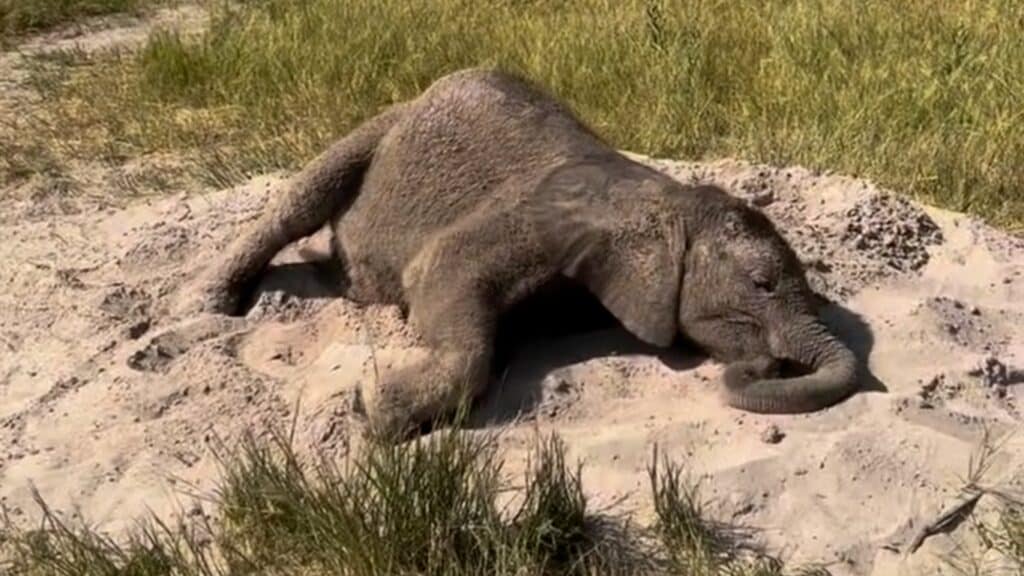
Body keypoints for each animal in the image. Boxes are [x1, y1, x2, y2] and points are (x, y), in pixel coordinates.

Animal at [175, 67, 859, 438]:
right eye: (761, 284)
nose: (766, 363)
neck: (670, 199)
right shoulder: (529, 224)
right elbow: (440, 284)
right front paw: (371, 409)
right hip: (378, 128)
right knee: (300, 201)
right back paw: (214, 302)